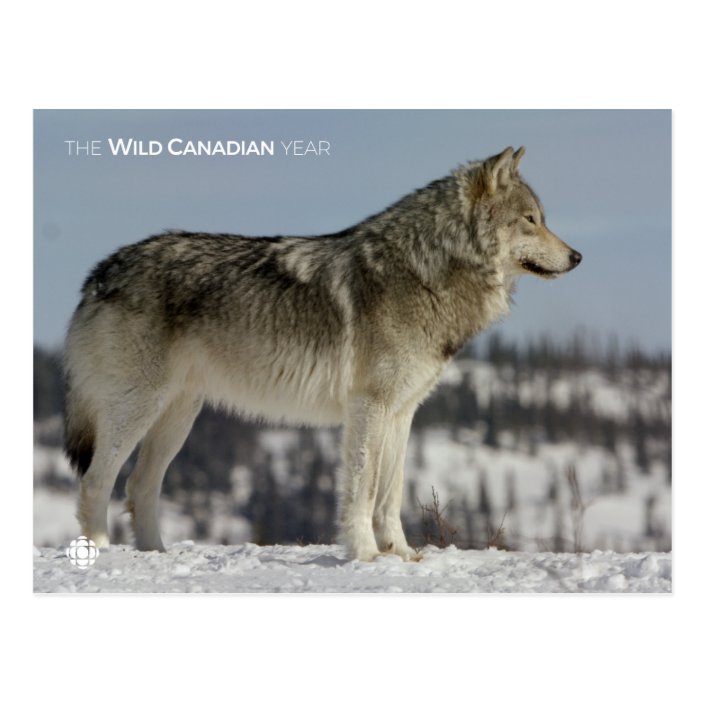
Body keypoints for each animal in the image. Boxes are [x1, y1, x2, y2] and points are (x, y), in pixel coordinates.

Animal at [63, 146, 581, 561]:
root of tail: (100, 271)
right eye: (531, 220)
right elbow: (362, 490)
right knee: (95, 480)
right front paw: (365, 555)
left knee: (139, 485)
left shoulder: (402, 412)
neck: (426, 272)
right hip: (137, 409)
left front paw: (402, 555)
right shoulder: (368, 407)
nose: (577, 257)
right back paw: (101, 554)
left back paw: (155, 555)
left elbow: (390, 494)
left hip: (179, 416)